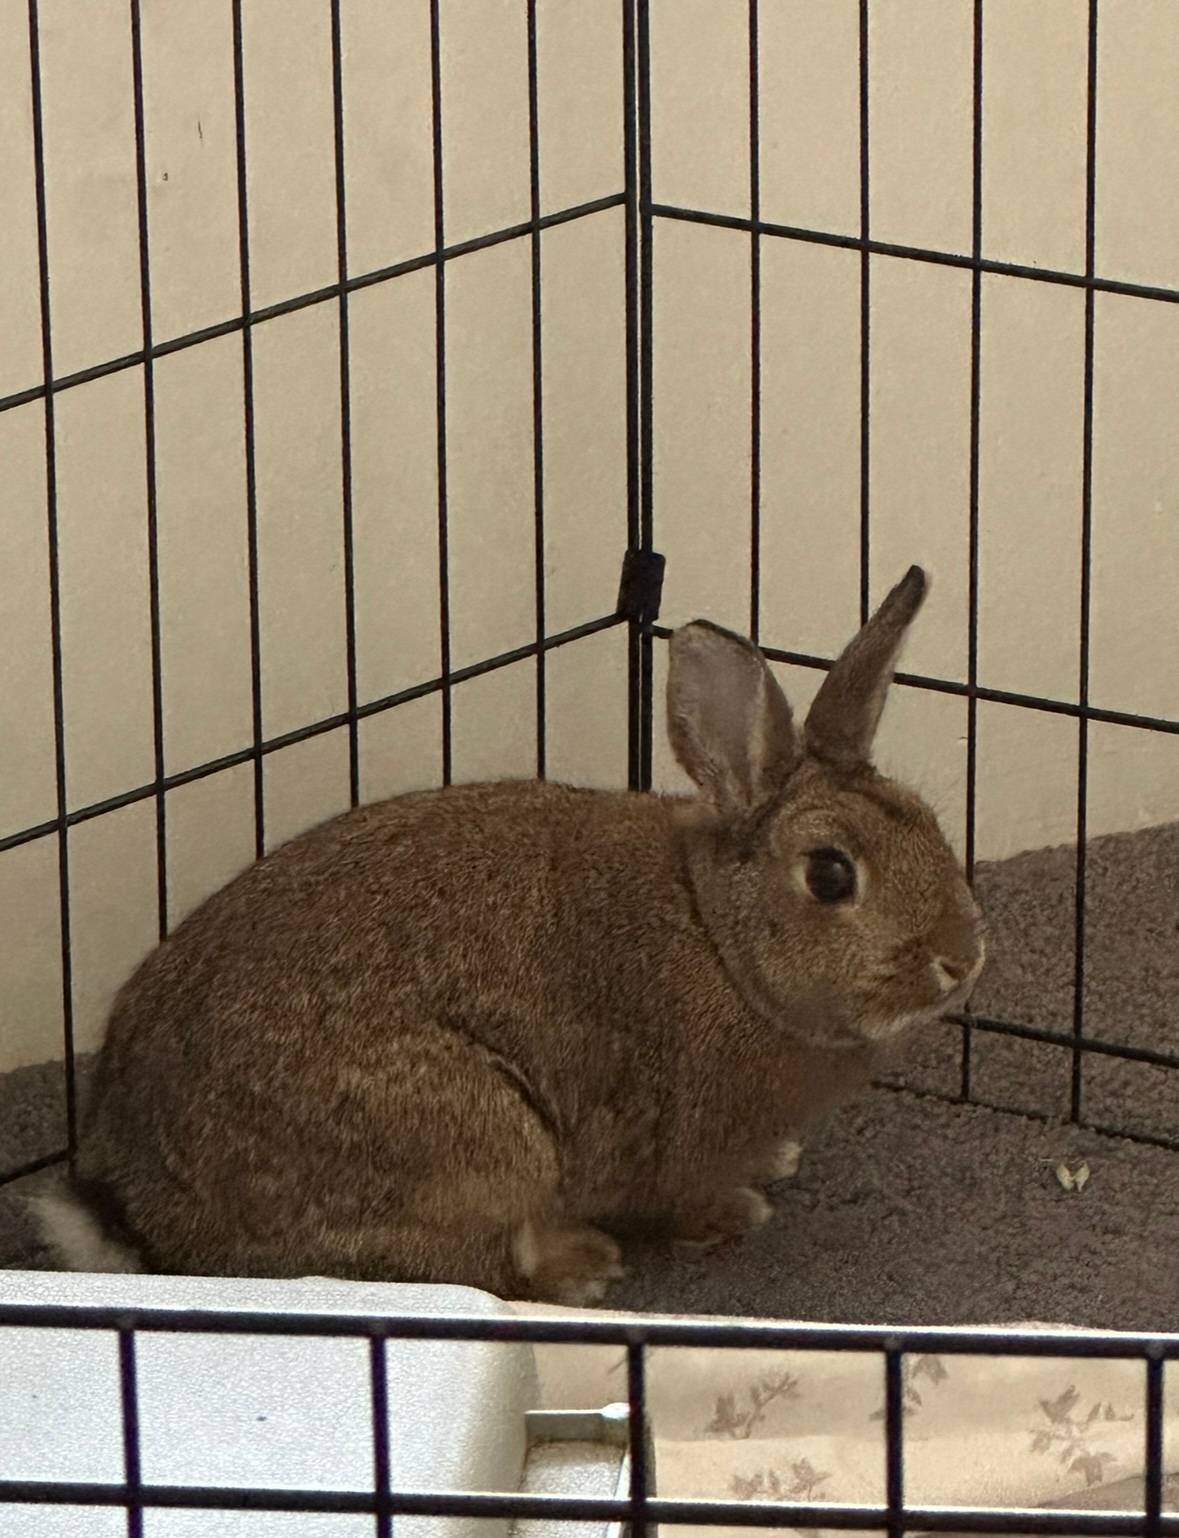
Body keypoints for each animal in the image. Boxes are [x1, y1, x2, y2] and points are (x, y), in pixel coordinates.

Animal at [34, 564, 985, 1305]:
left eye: (931, 825)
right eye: (829, 875)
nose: (961, 959)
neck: (718, 936)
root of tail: (145, 1216)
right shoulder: (666, 1141)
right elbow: (678, 1200)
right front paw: (736, 1212)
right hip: (480, 1143)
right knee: (466, 1275)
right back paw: (581, 1268)